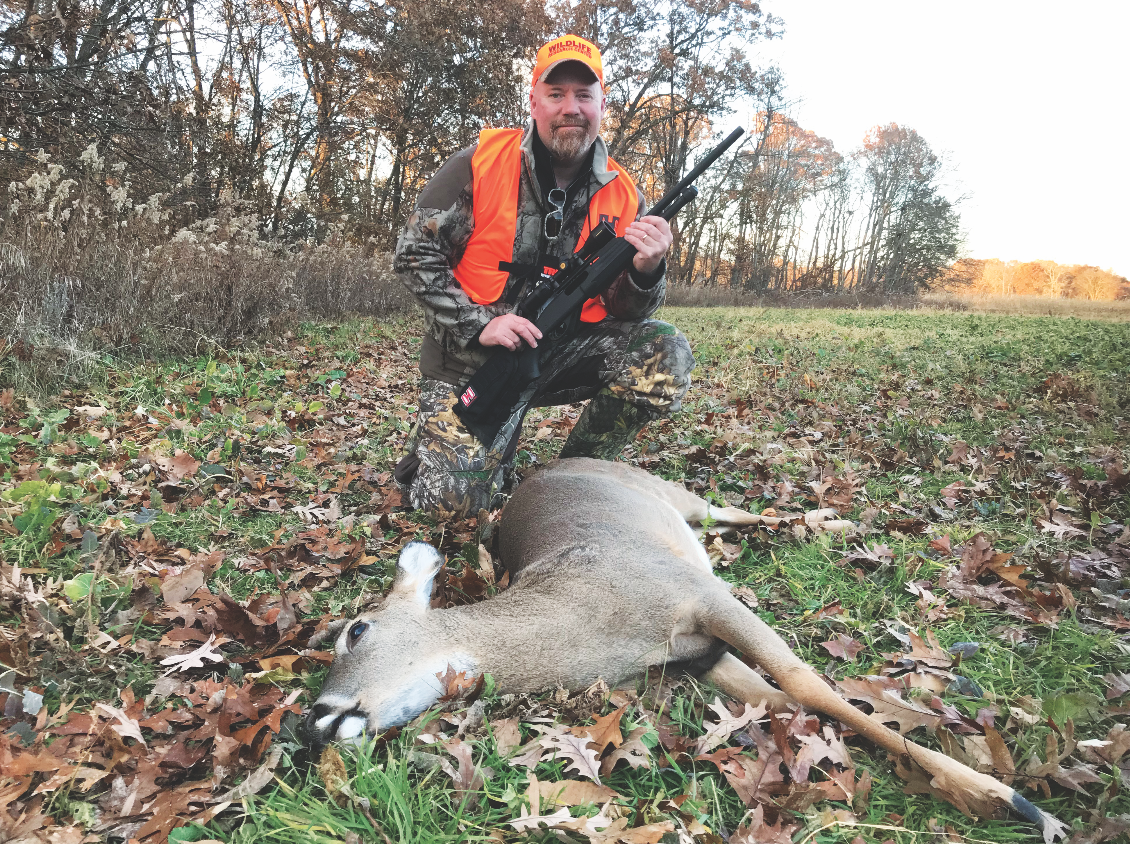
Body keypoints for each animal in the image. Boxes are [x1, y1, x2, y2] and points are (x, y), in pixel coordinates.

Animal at [306, 457, 1064, 840]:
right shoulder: (692, 655)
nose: (311, 719)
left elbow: (806, 683)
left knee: (729, 506)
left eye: (356, 629)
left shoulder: (702, 595)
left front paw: (1010, 799)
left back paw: (831, 519)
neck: (594, 624)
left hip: (673, 494)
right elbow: (780, 698)